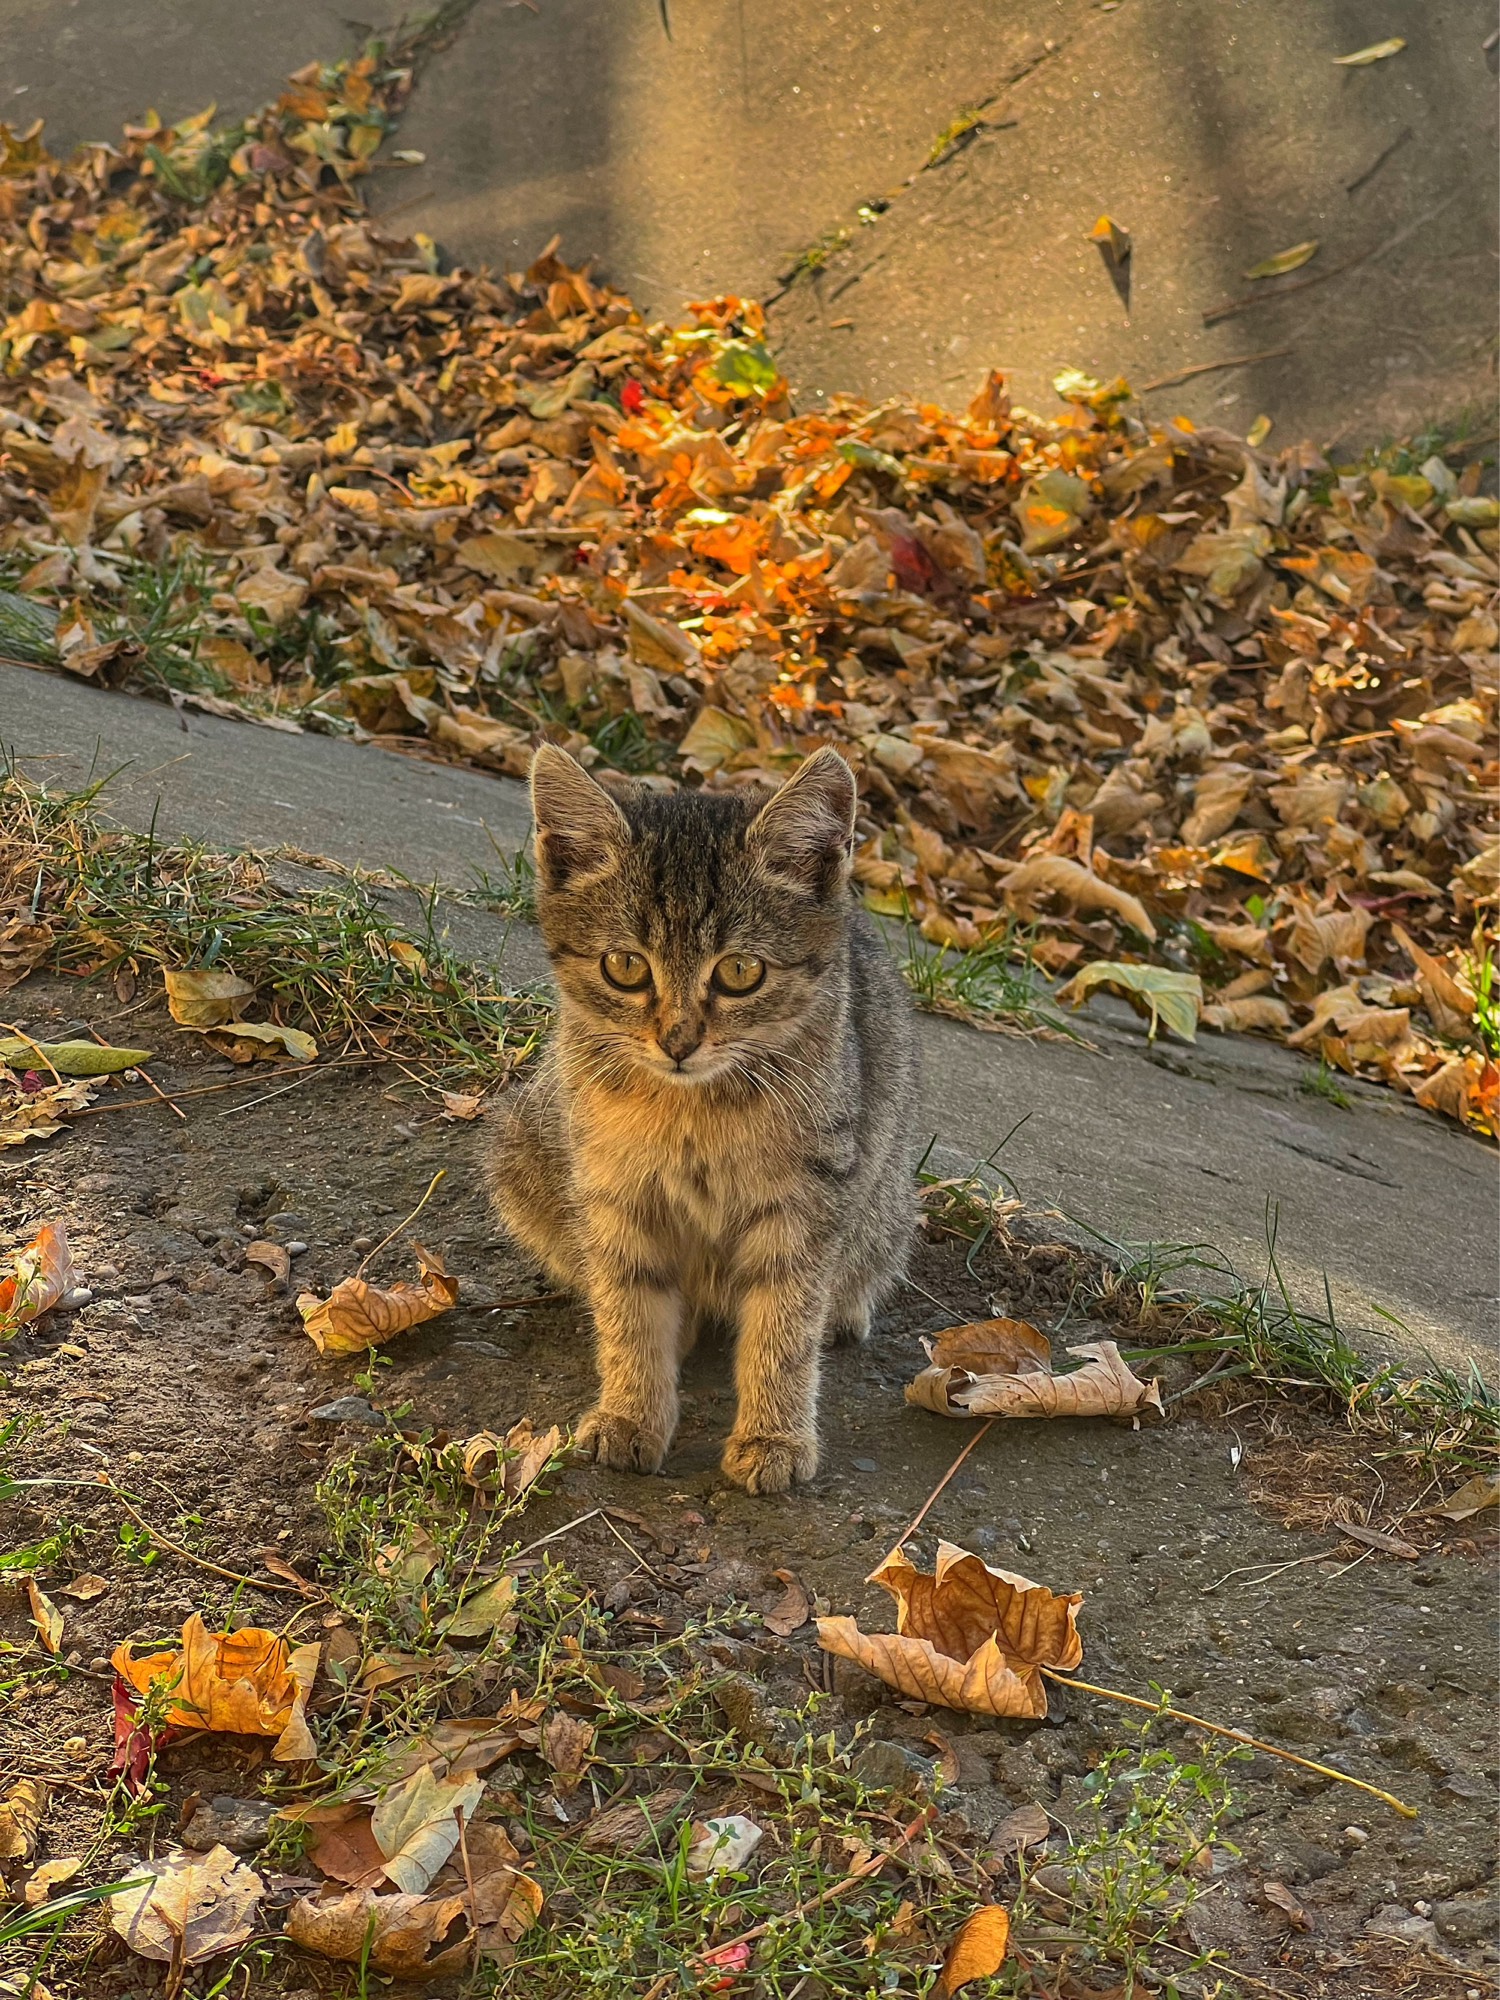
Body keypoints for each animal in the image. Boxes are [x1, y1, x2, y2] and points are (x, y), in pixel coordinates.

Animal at [490, 744, 916, 1496]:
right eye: (625, 966)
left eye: (741, 971)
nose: (678, 1042)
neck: (694, 1111)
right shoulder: (613, 1190)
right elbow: (629, 1311)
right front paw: (631, 1413)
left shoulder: (807, 1202)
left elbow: (782, 1327)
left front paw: (774, 1436)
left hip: (886, 1200)